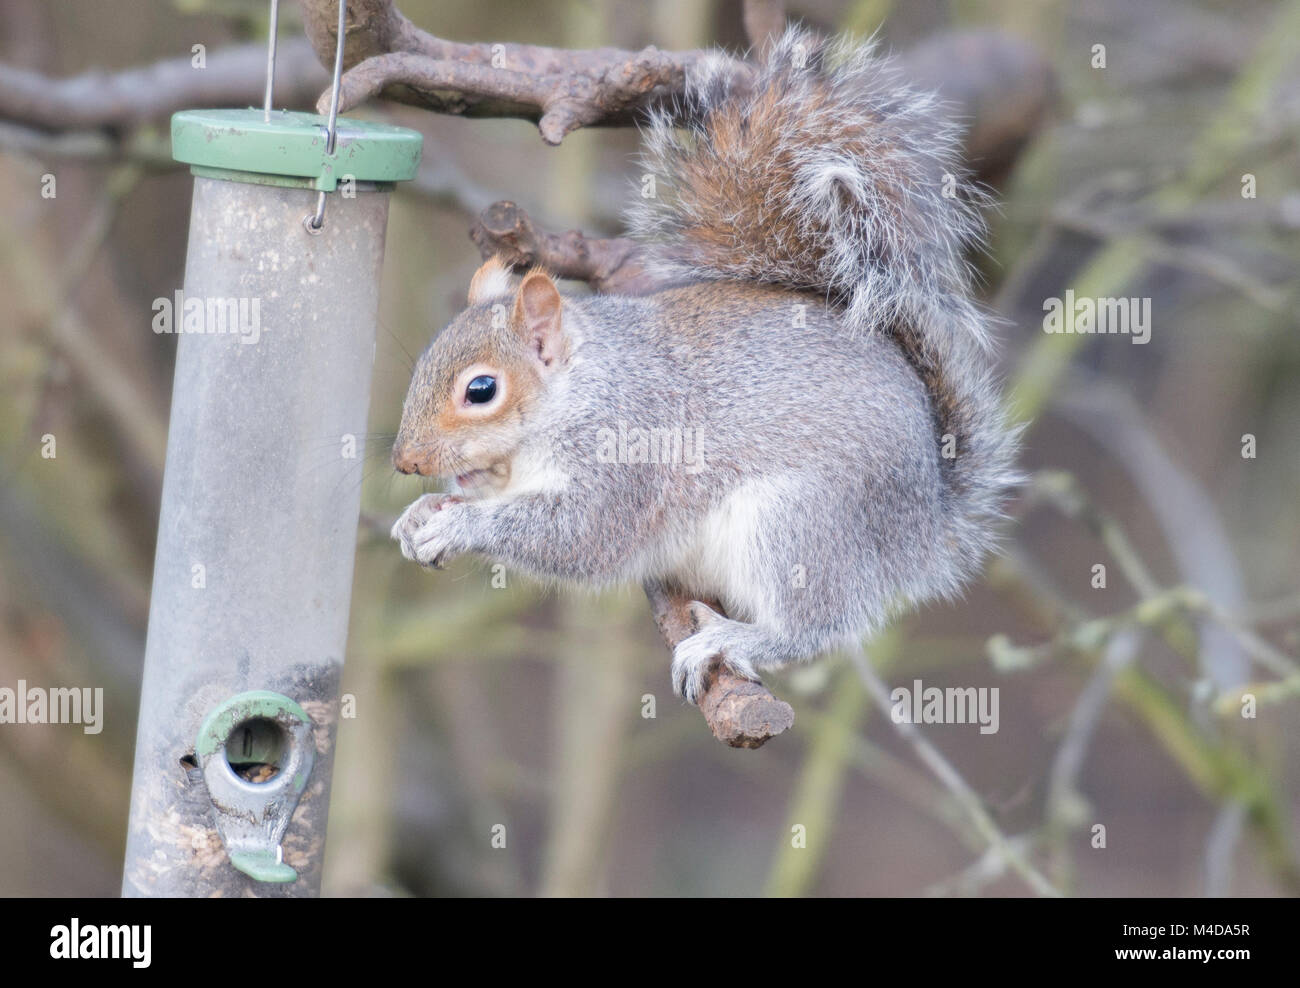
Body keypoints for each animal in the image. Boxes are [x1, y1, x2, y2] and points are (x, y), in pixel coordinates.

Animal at [390, 29, 1019, 704]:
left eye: (482, 390)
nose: (406, 462)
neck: (576, 393)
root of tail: (928, 520)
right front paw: (421, 513)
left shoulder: (626, 455)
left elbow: (579, 534)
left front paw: (461, 525)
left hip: (796, 523)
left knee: (814, 628)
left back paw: (736, 640)